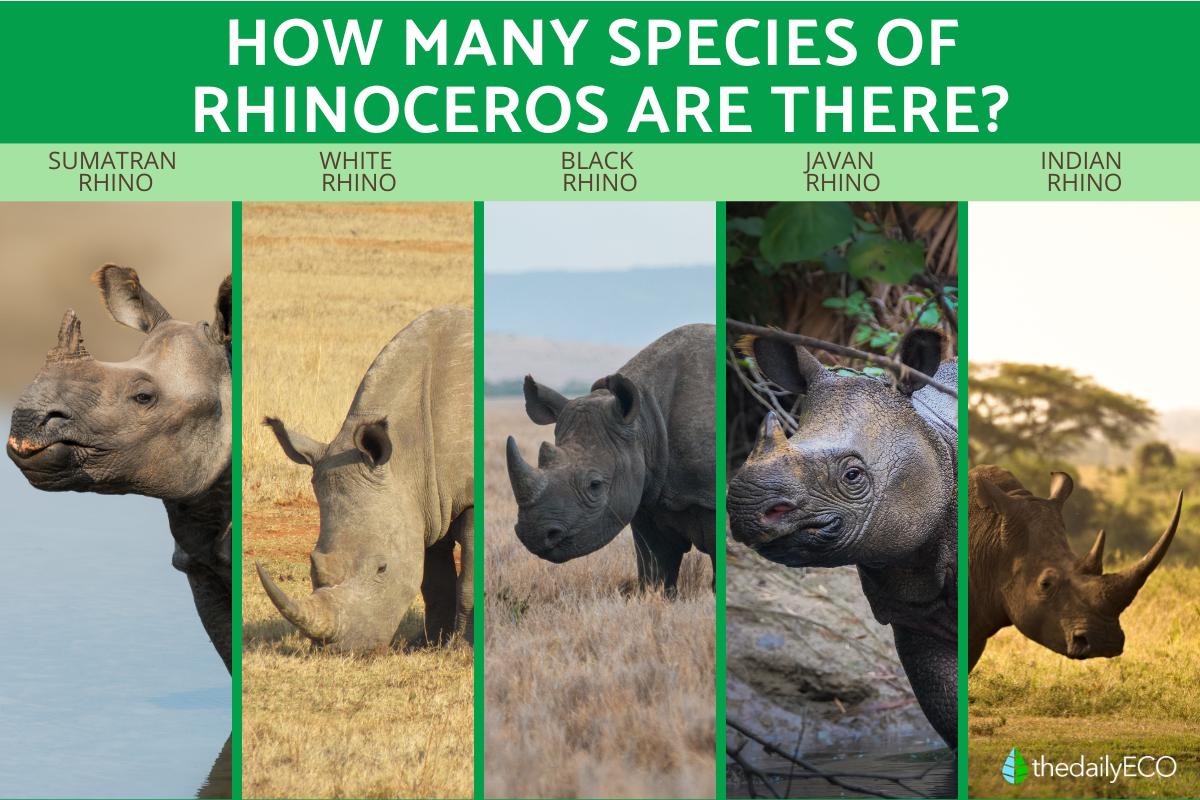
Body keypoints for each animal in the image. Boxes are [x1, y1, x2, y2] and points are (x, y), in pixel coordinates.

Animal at [256, 306, 473, 653]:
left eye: (381, 568)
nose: (339, 651)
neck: (408, 454)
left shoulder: (466, 499)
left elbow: (467, 581)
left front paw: (459, 648)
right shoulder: (426, 502)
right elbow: (433, 581)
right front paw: (425, 645)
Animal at [505, 323, 715, 592]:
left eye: (595, 485)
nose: (533, 534)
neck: (645, 420)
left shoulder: (709, 495)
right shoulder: (647, 497)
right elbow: (654, 571)